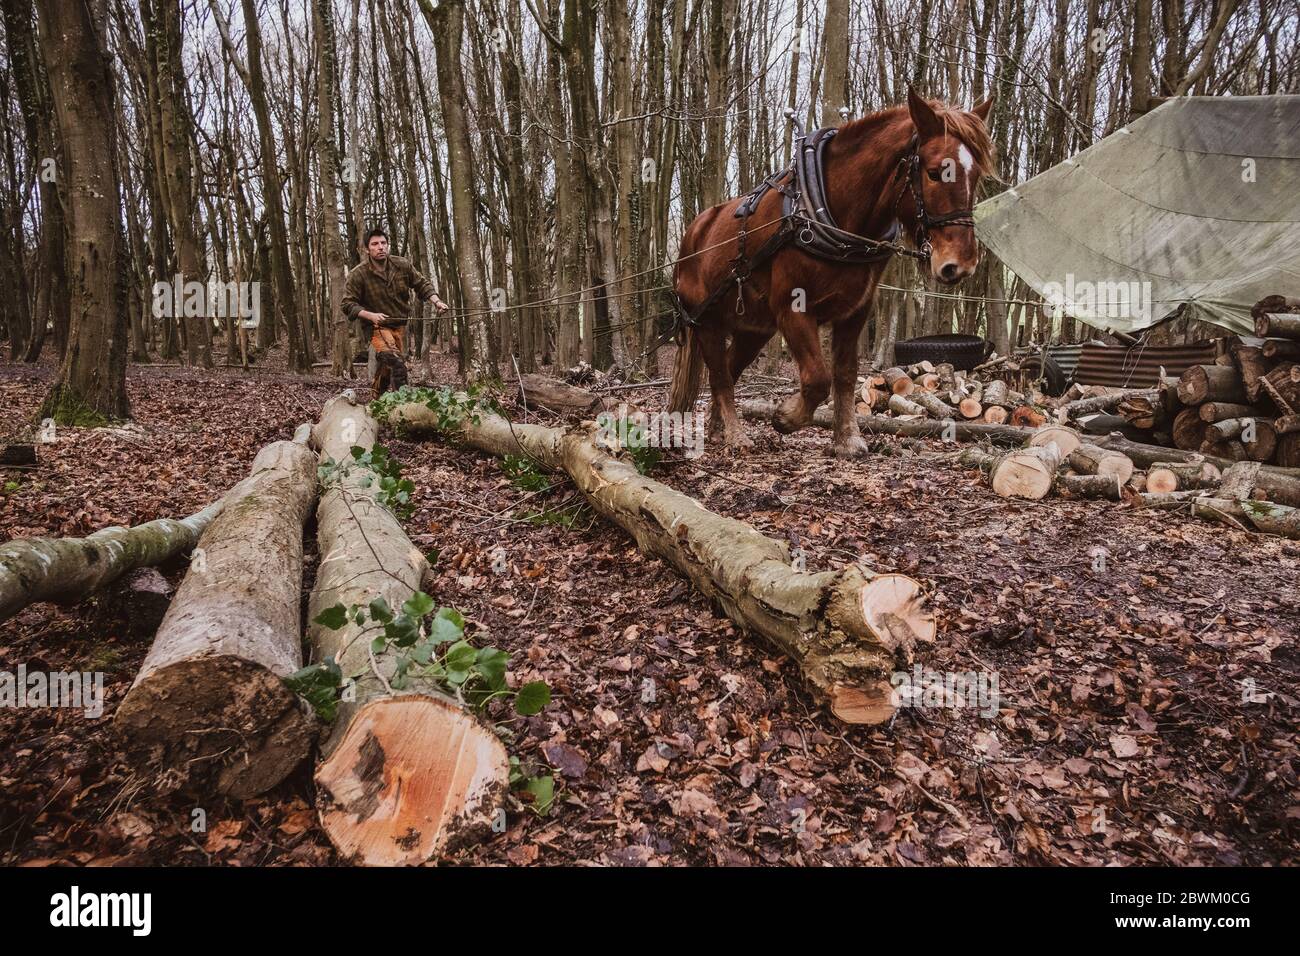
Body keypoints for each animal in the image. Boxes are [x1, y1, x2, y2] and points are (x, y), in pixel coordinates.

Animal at [667, 89, 996, 457]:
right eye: (936, 173)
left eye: (977, 175)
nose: (960, 264)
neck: (827, 212)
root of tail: (694, 232)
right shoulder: (793, 309)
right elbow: (816, 378)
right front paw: (786, 417)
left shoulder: (855, 312)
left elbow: (845, 374)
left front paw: (847, 439)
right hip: (707, 322)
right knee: (720, 376)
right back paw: (736, 435)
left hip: (753, 330)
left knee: (729, 369)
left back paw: (717, 430)